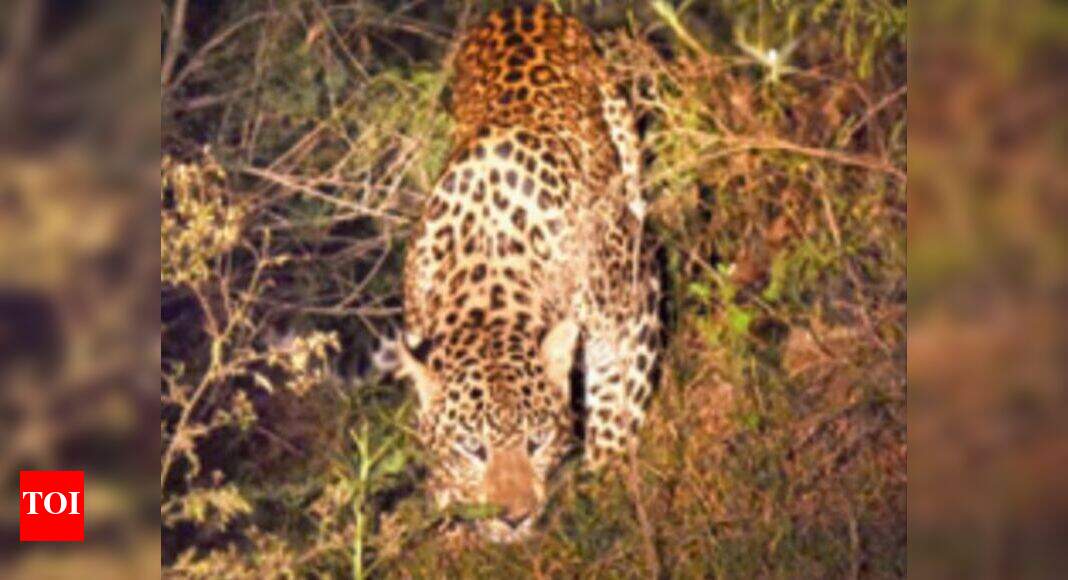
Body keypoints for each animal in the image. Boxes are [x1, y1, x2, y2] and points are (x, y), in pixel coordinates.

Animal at [396, 3, 661, 543]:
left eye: (536, 441)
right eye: (472, 448)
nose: (514, 517)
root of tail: (517, 8)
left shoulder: (632, 305)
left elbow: (615, 402)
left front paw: (605, 480)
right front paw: (451, 510)